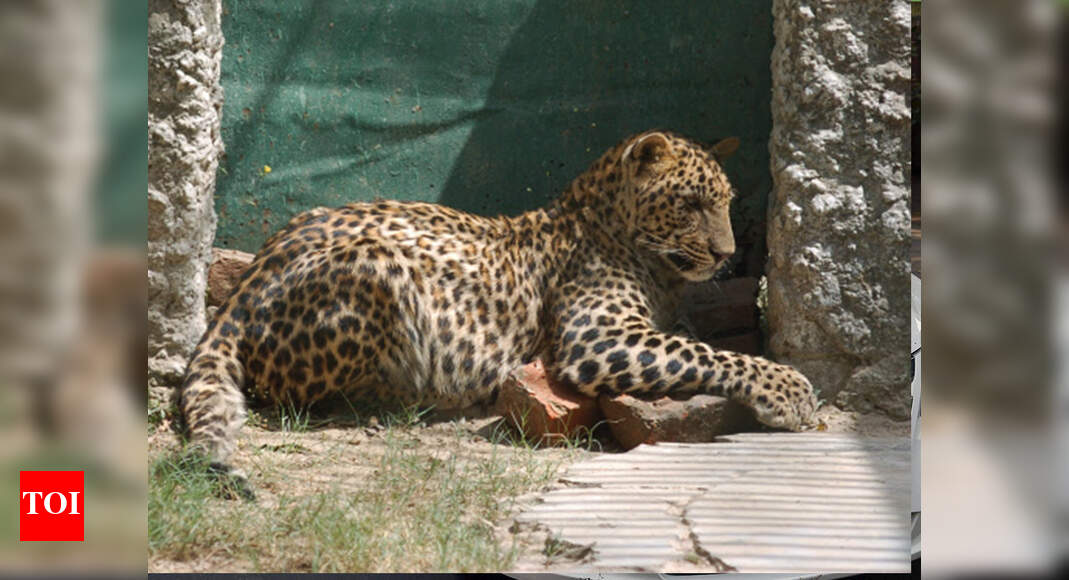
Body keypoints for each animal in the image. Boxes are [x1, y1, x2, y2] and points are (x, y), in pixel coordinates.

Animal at [179, 130, 818, 481]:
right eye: (689, 203)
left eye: (726, 202)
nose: (727, 254)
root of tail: (243, 289)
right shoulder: (597, 338)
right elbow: (705, 353)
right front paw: (789, 389)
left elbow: (694, 339)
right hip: (379, 266)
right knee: (306, 396)